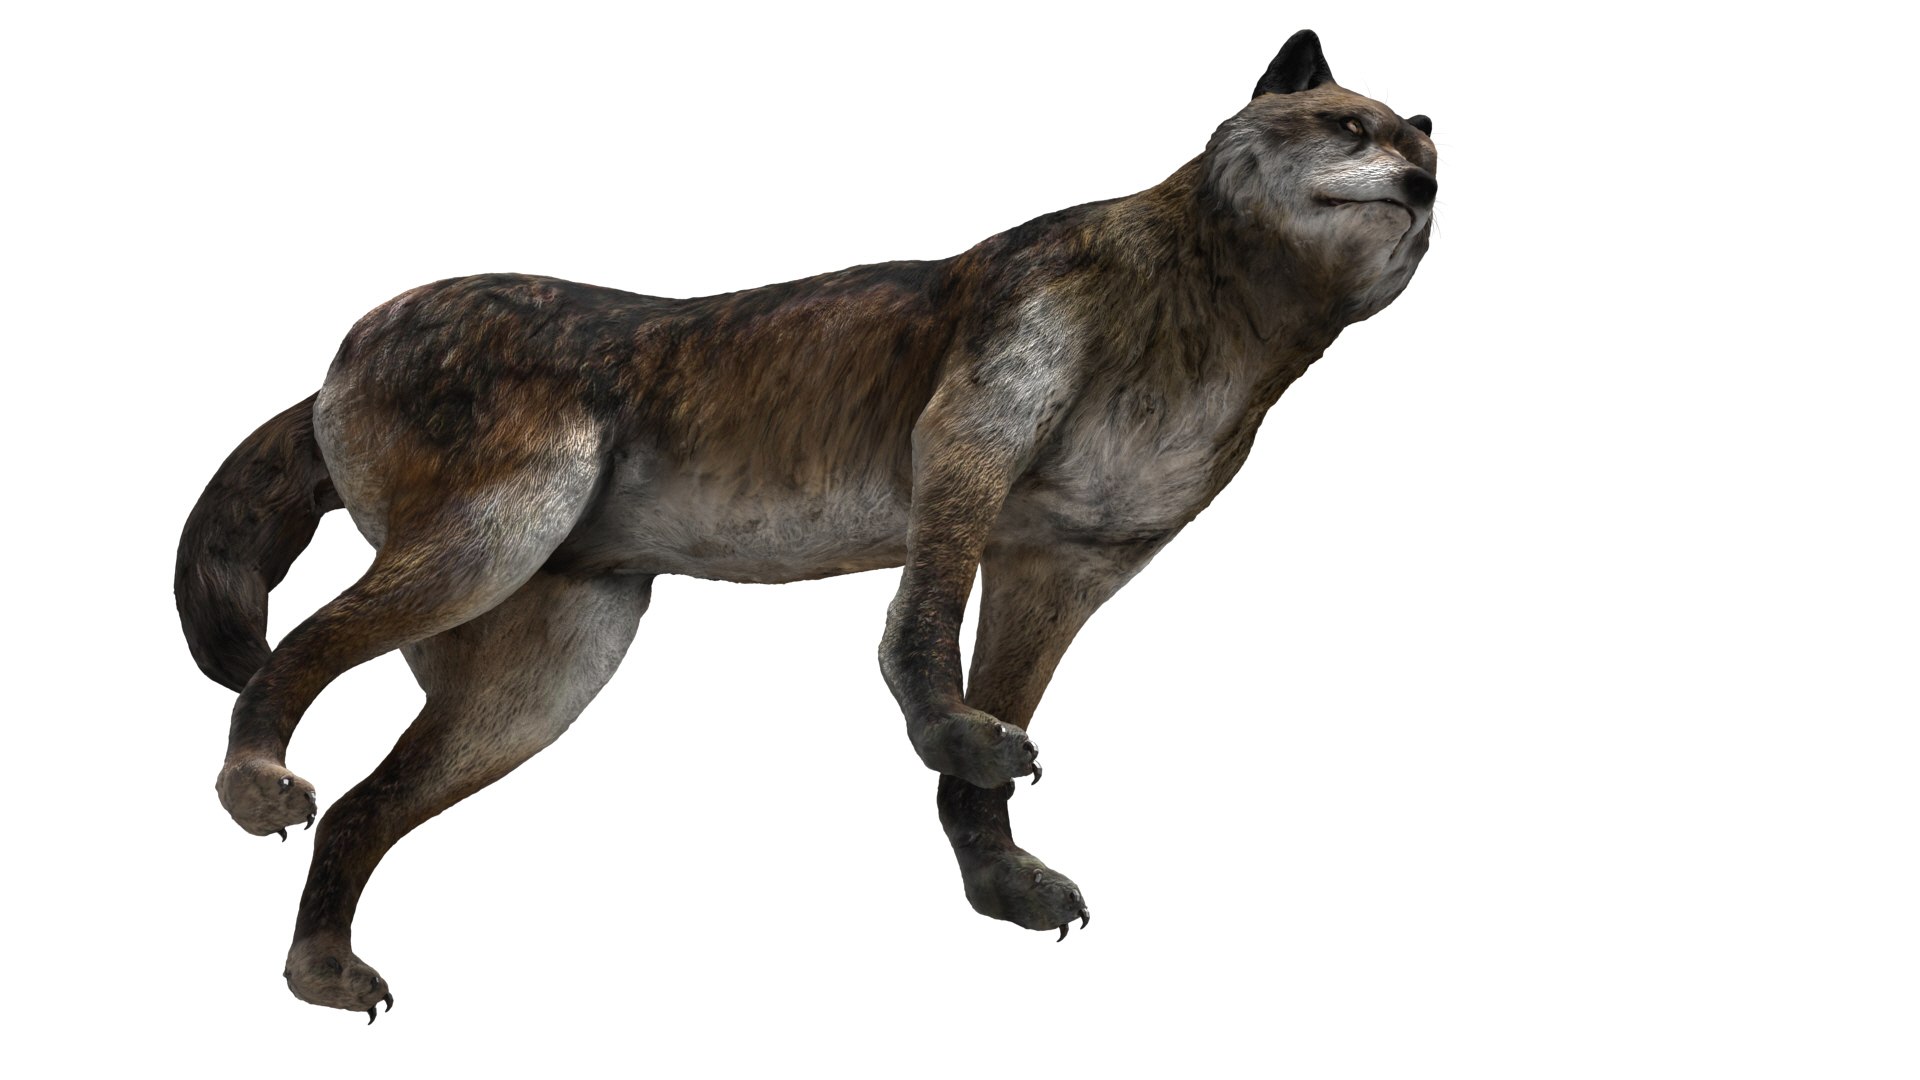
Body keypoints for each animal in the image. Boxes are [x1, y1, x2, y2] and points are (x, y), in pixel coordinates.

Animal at [177, 30, 1436, 1019]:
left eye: (1425, 153)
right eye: (1346, 127)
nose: (1421, 190)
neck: (1209, 315)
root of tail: (338, 352)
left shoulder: (1064, 572)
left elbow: (988, 743)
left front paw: (1000, 882)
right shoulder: (966, 444)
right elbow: (921, 630)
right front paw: (950, 732)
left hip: (544, 681)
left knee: (361, 805)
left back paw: (320, 970)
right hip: (488, 548)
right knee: (292, 660)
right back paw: (255, 786)